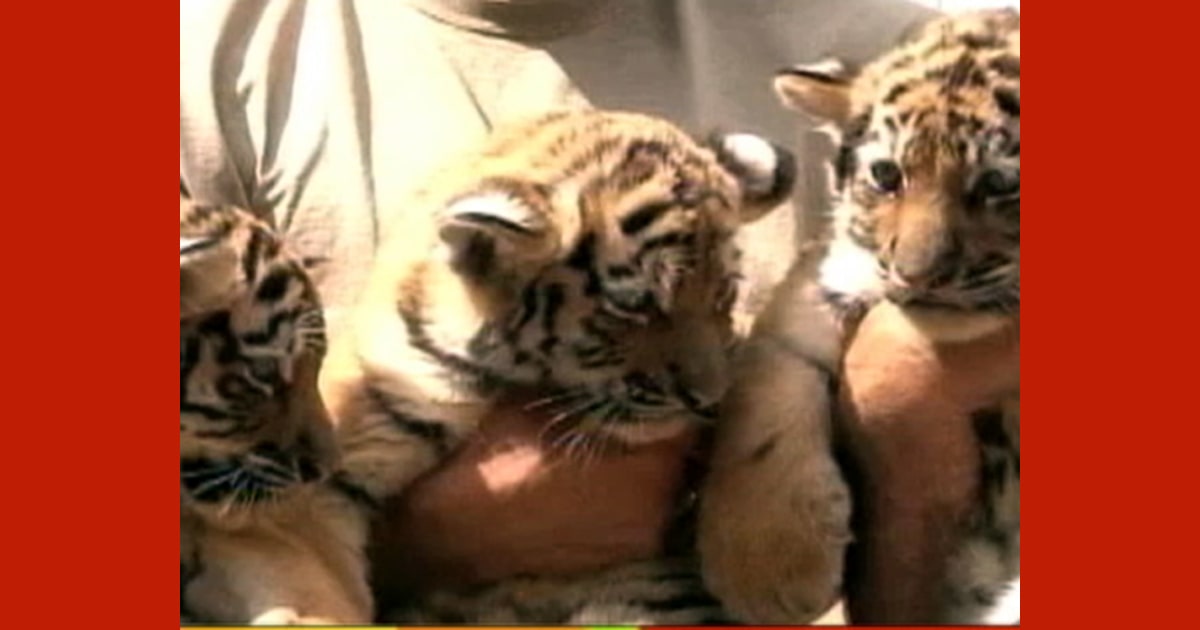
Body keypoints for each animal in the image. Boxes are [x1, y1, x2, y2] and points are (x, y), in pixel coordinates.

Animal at [697, 8, 1021, 625]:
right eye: (888, 175)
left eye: (999, 183)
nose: (916, 276)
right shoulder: (814, 289)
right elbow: (765, 385)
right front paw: (768, 567)